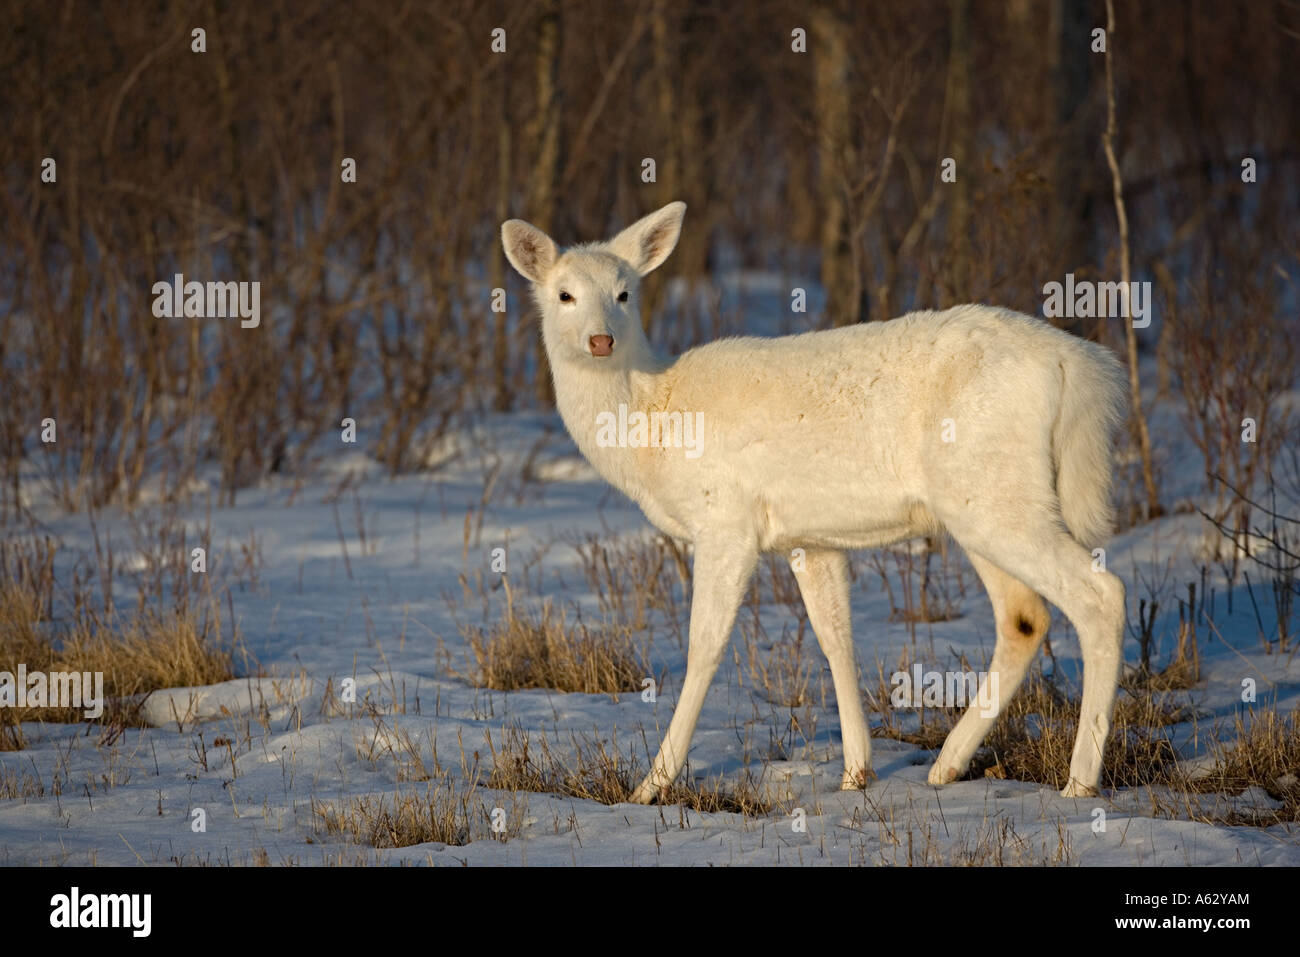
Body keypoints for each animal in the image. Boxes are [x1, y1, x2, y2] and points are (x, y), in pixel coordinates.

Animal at [501, 201, 1128, 802]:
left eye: (625, 292)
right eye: (564, 294)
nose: (600, 340)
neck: (651, 425)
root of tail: (1078, 367)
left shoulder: (725, 520)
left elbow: (704, 647)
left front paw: (651, 785)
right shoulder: (810, 538)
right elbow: (836, 640)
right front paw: (856, 774)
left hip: (997, 495)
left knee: (1101, 596)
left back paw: (1079, 782)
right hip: (980, 503)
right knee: (1024, 617)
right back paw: (947, 765)